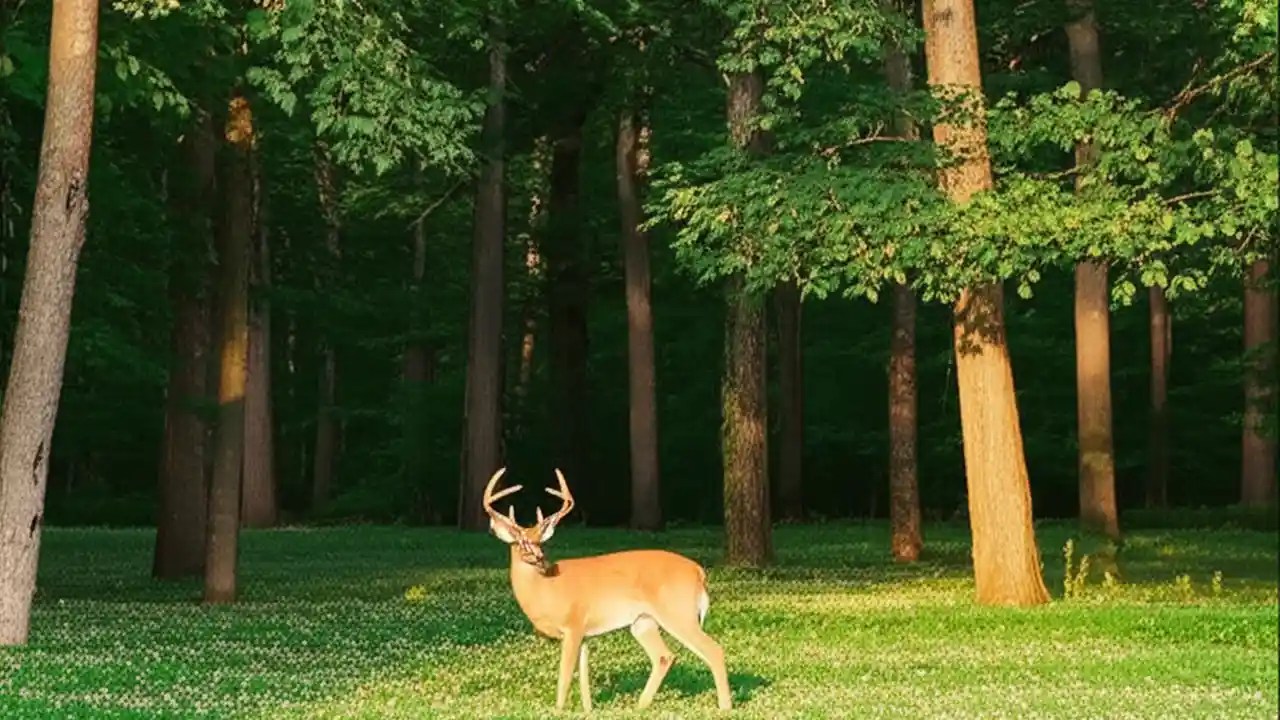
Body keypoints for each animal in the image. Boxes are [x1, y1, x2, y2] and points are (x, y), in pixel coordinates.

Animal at [482, 467, 733, 712]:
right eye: (519, 542)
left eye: (540, 541)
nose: (539, 557)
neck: (546, 589)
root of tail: (698, 572)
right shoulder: (584, 634)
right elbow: (583, 678)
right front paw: (588, 711)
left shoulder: (574, 623)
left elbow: (565, 676)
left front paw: (558, 710)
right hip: (643, 622)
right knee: (664, 656)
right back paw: (639, 707)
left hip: (678, 612)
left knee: (714, 650)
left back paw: (725, 707)